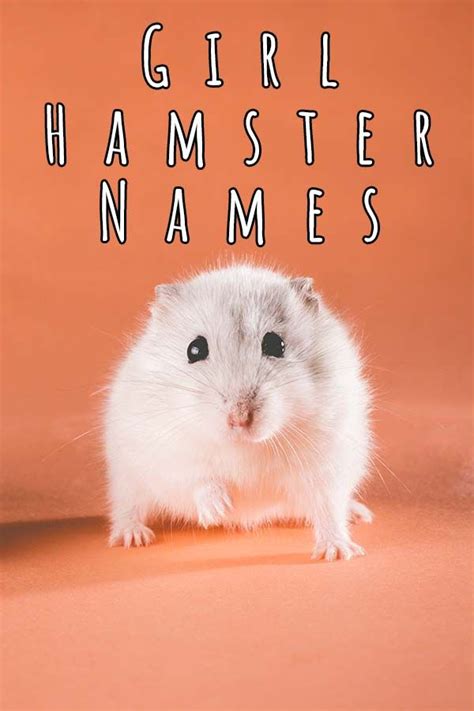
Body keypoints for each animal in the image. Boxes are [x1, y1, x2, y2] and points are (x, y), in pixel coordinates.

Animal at [104, 264, 373, 561]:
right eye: (194, 349)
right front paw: (219, 511)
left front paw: (338, 553)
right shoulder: (167, 452)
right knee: (128, 507)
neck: (243, 447)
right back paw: (133, 537)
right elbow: (199, 478)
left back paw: (360, 515)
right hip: (127, 478)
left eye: (276, 344)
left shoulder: (328, 463)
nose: (240, 418)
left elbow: (328, 509)